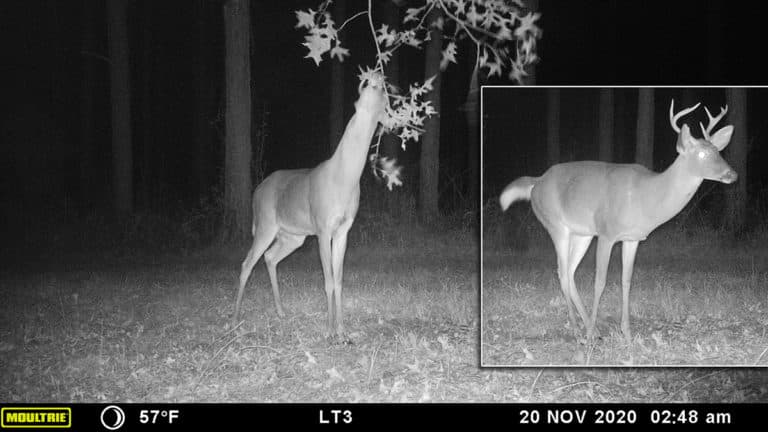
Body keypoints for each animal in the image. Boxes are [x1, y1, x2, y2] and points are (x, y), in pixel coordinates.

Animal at [233, 74, 387, 341]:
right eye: (371, 88)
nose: (379, 77)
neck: (344, 178)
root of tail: (257, 191)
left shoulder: (343, 230)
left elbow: (338, 280)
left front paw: (342, 331)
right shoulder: (323, 227)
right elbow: (327, 281)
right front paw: (329, 331)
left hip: (293, 236)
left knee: (270, 257)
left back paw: (280, 311)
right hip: (265, 224)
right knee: (247, 263)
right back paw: (233, 319)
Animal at [499, 99, 737, 341]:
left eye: (718, 151)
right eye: (701, 154)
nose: (732, 174)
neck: (647, 198)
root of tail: (537, 181)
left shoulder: (632, 239)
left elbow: (626, 281)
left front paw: (627, 334)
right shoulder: (607, 232)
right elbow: (600, 282)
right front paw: (594, 336)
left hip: (582, 234)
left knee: (570, 272)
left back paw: (591, 328)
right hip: (556, 225)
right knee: (562, 272)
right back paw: (579, 330)